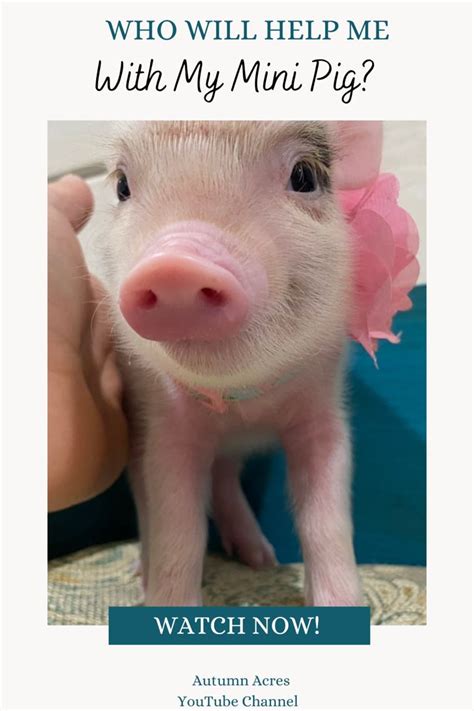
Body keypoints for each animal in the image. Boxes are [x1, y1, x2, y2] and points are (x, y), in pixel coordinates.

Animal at [98, 121, 383, 606]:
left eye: (304, 175)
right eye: (122, 186)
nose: (175, 268)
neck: (244, 402)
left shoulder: (324, 412)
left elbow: (325, 521)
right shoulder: (166, 423)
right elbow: (179, 528)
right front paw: (162, 598)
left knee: (225, 478)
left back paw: (260, 560)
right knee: (146, 496)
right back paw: (143, 571)